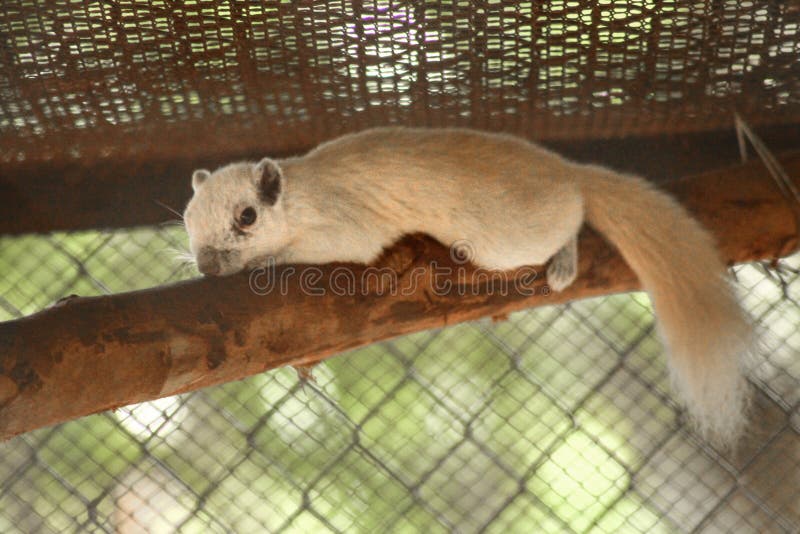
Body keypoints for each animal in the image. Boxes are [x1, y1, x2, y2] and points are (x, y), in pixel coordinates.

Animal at [183, 127, 754, 446]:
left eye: (247, 216)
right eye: (186, 218)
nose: (206, 267)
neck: (301, 197)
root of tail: (567, 169)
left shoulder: (347, 229)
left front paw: (265, 259)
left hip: (511, 237)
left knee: (575, 213)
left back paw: (564, 260)